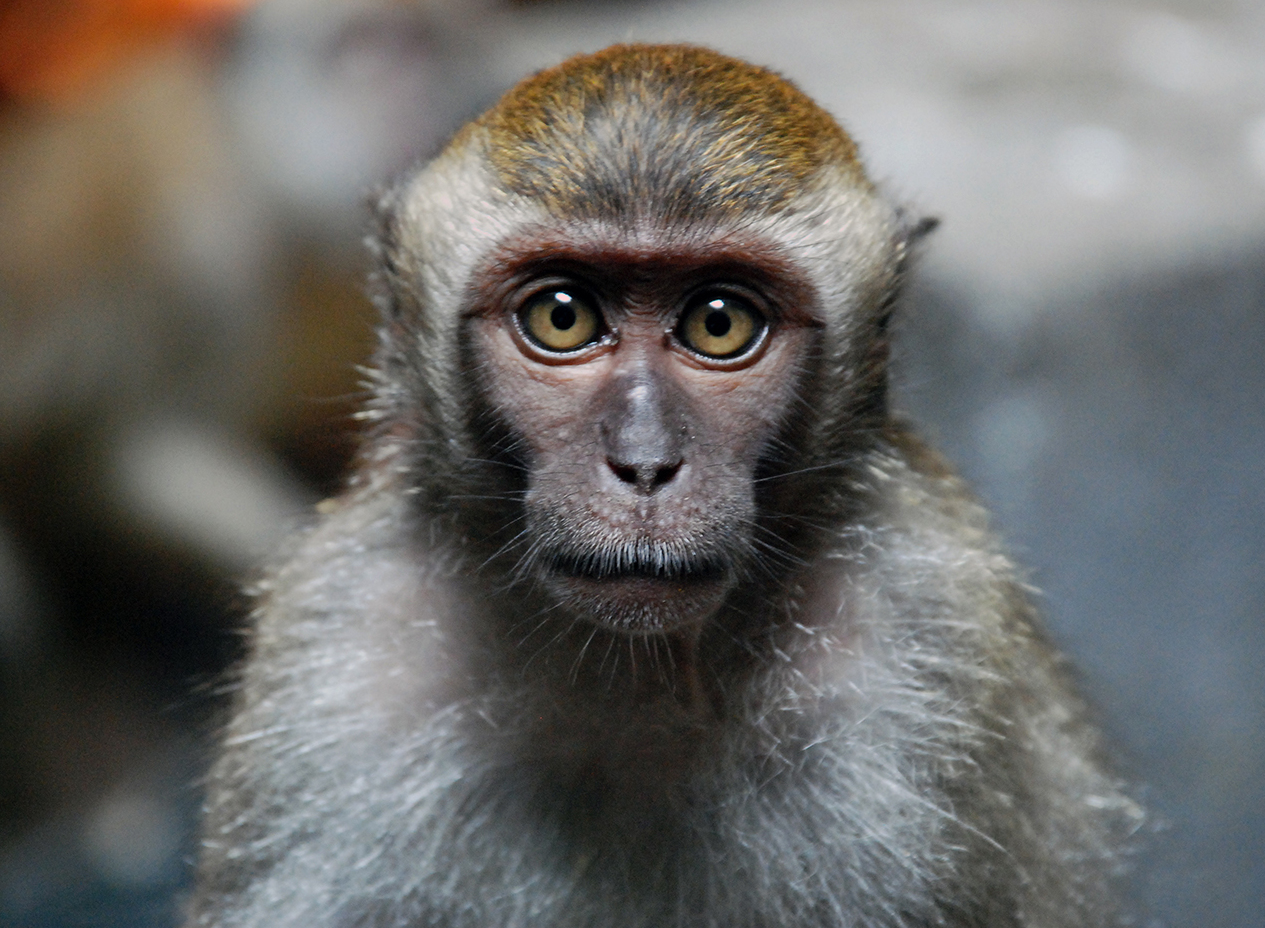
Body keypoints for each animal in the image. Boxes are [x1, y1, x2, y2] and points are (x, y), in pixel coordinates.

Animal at [187, 44, 1141, 928]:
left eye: (719, 324)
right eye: (561, 316)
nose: (644, 464)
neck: (637, 676)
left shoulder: (930, 641)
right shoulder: (337, 648)